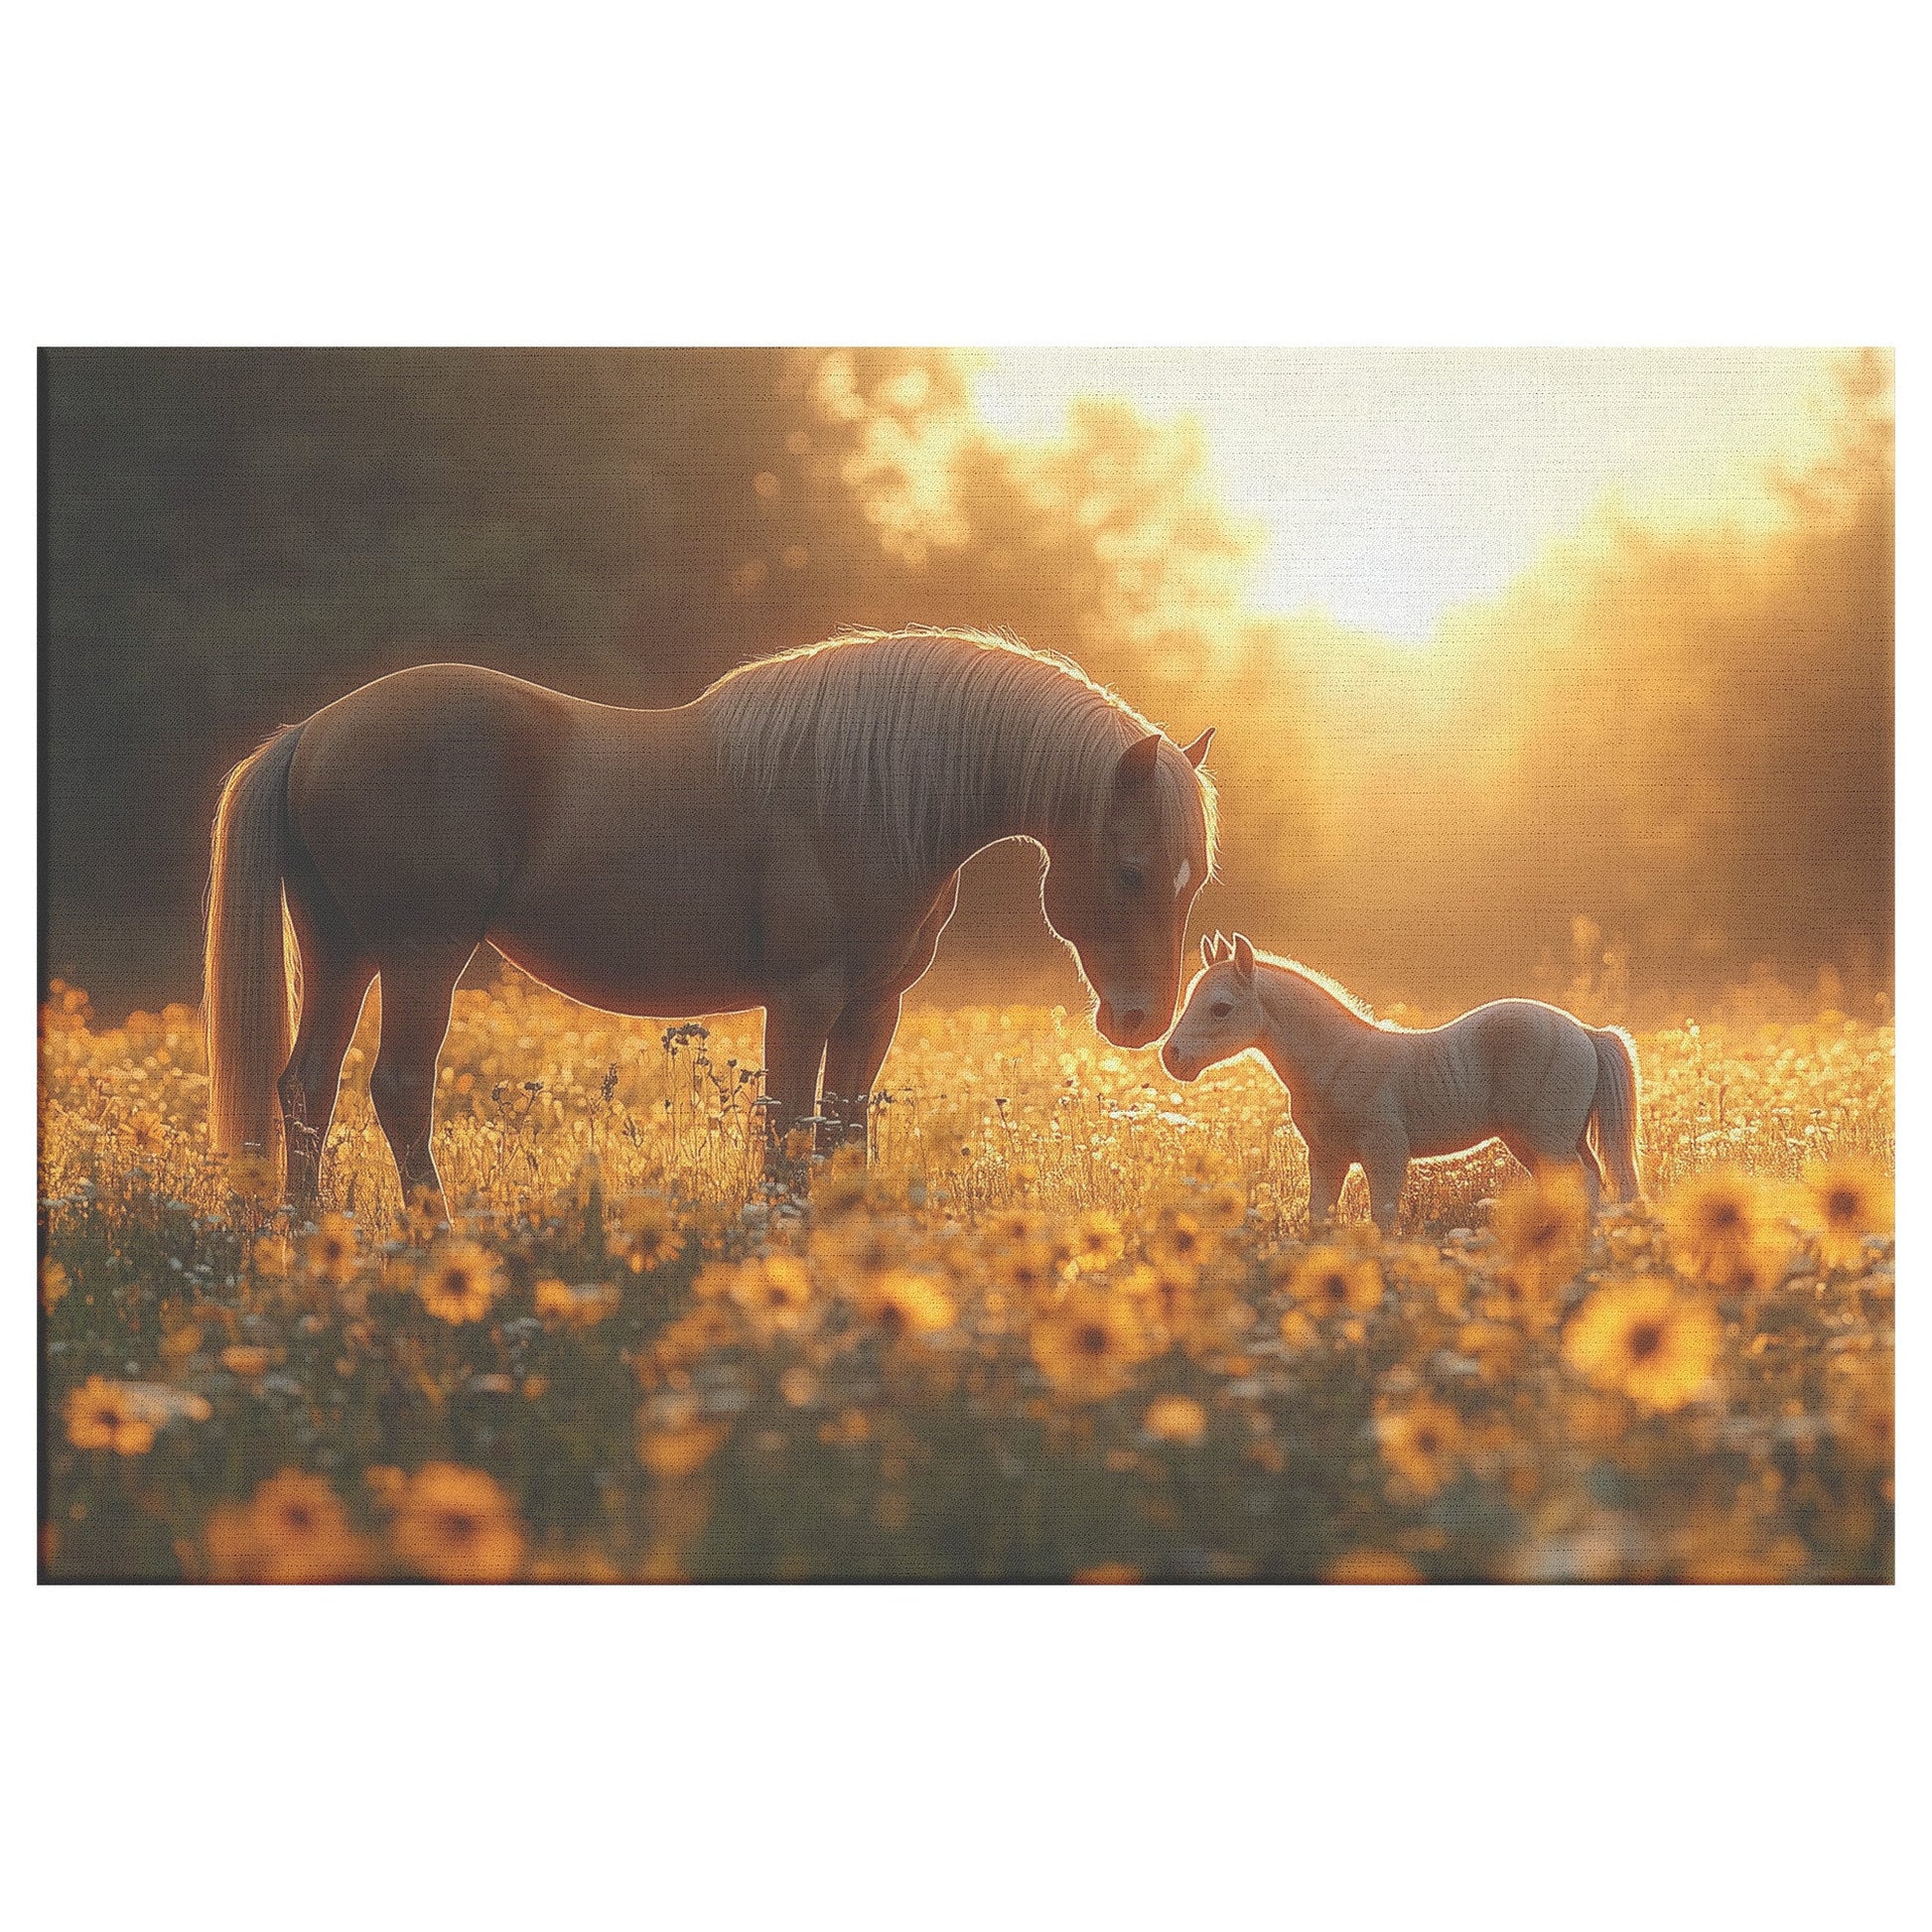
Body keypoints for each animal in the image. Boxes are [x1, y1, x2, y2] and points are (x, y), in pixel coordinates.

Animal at [203, 627, 1217, 1208]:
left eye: (1193, 881)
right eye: (1132, 872)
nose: (1141, 1022)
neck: (872, 793)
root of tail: (312, 732)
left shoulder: (873, 1007)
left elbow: (844, 1132)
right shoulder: (804, 999)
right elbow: (790, 1131)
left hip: (340, 951)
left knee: (306, 1090)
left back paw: (304, 1243)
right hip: (421, 955)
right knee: (400, 1089)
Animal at [1160, 933, 1642, 1233]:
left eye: (1221, 1008)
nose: (1172, 1058)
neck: (1338, 1062)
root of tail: (1585, 1031)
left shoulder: (1385, 1155)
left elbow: (1383, 1222)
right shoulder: (1326, 1159)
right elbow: (1321, 1222)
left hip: (1549, 1141)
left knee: (1583, 1185)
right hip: (1542, 1141)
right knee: (1588, 1183)